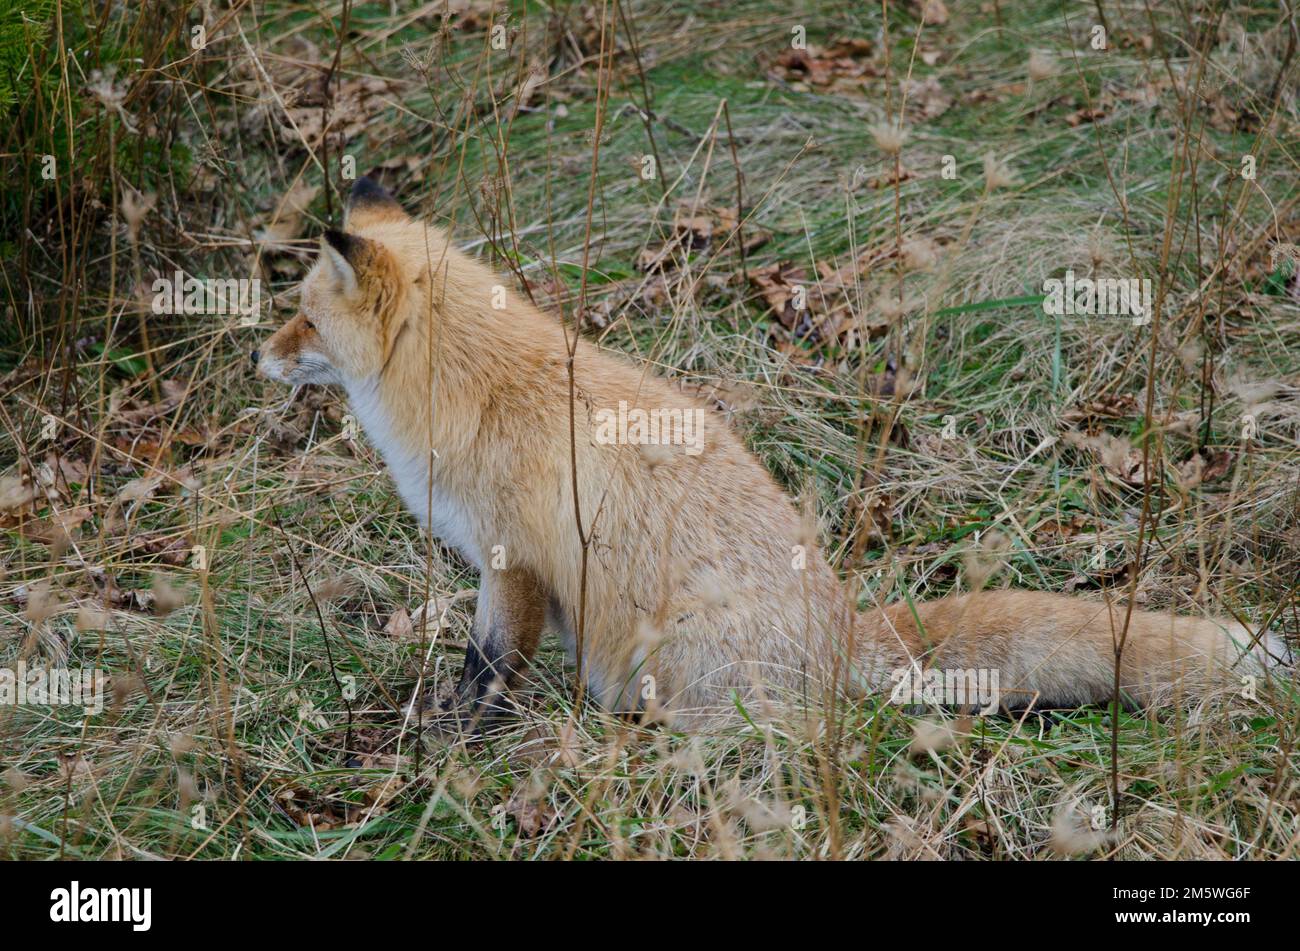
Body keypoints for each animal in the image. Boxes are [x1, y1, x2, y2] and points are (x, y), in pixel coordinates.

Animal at [255, 176, 1290, 728]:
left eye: (303, 316)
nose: (257, 353)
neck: (471, 384)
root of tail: (838, 636)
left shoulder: (511, 564)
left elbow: (485, 669)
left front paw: (449, 738)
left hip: (675, 661)